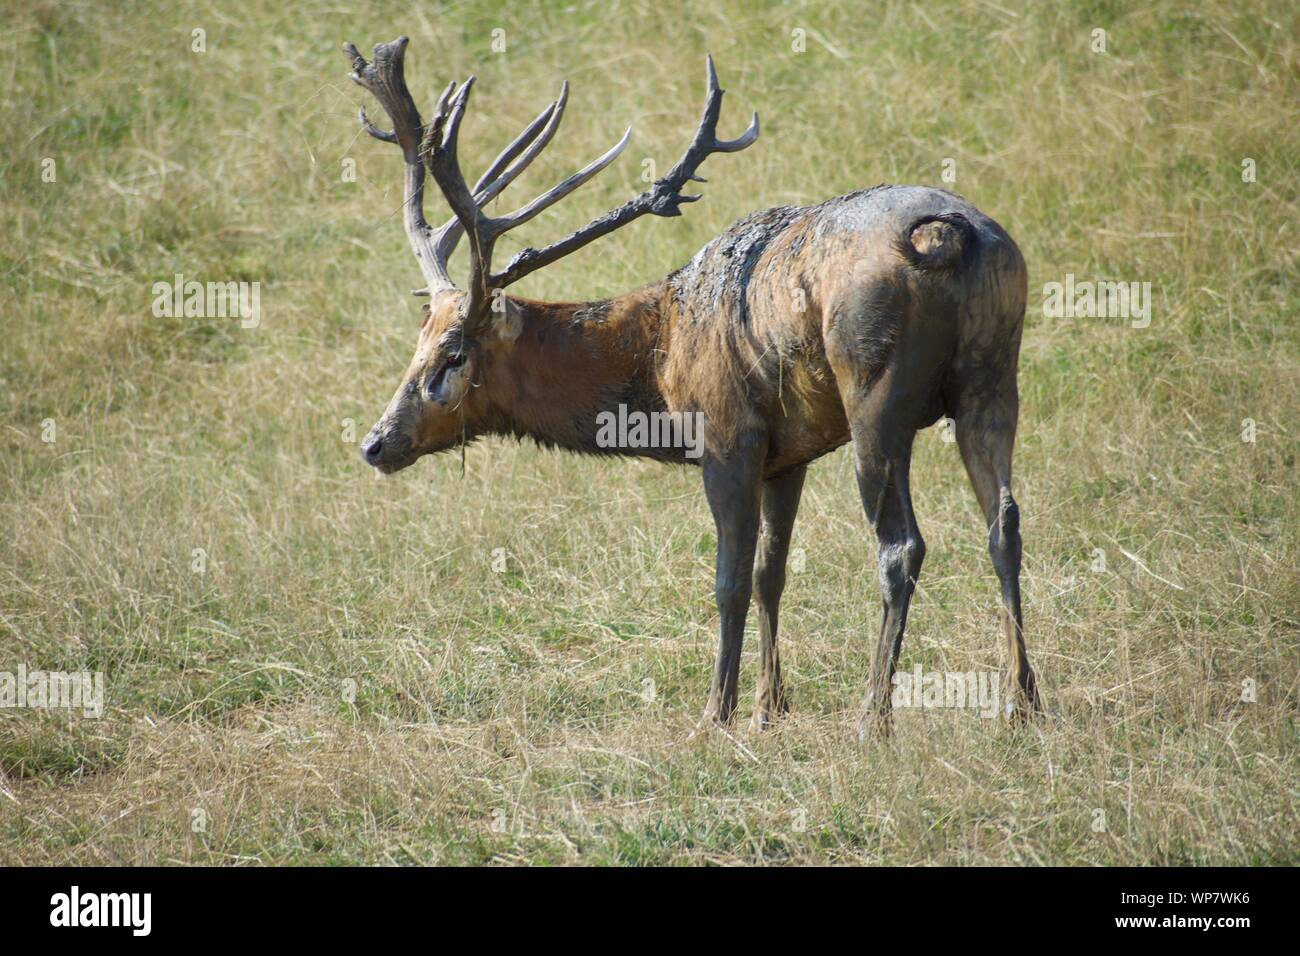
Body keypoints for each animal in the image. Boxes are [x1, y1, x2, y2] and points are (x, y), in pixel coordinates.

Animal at [342, 36, 1041, 738]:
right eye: (416, 344)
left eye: (453, 354)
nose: (375, 443)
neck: (662, 358)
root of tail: (946, 234)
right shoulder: (787, 455)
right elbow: (770, 572)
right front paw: (768, 706)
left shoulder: (727, 437)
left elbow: (729, 581)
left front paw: (717, 713)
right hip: (993, 377)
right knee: (1004, 523)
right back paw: (1022, 700)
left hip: (874, 391)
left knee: (902, 546)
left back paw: (875, 715)